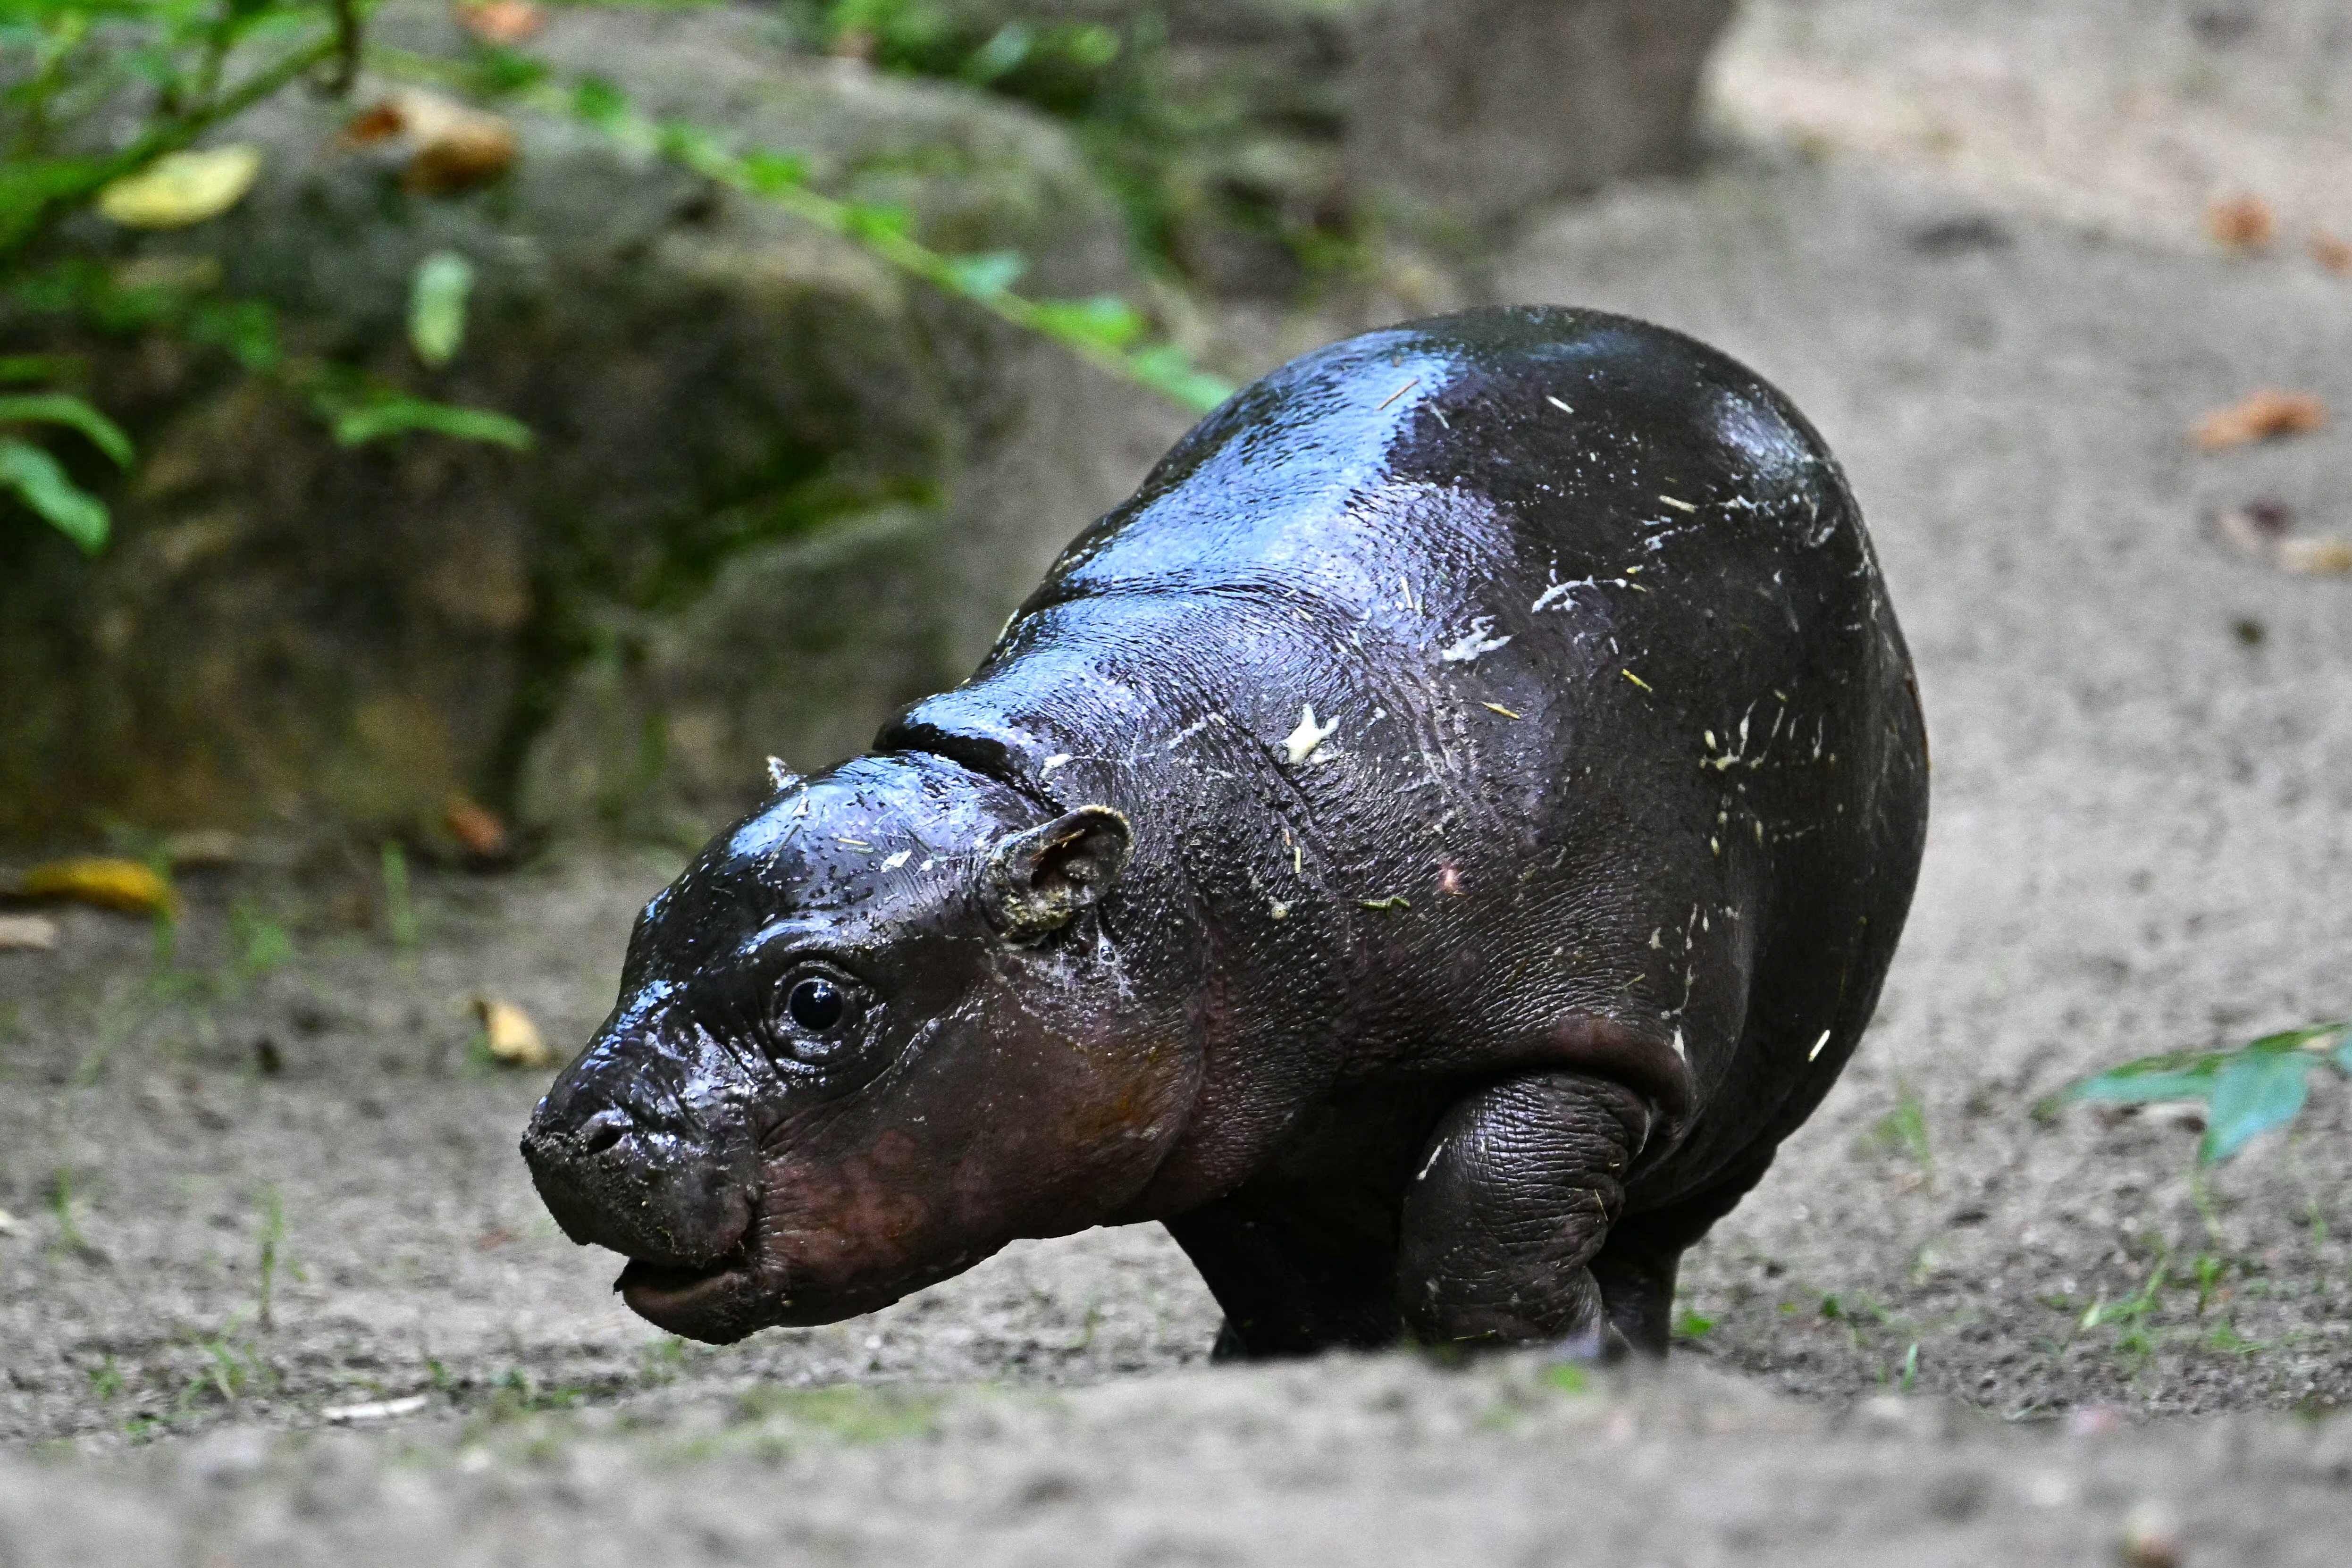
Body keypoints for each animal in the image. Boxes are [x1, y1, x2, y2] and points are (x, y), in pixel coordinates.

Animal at [521, 305, 1929, 1358]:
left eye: (817, 1000)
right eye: (645, 923)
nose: (558, 1137)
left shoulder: (1593, 1026)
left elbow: (1486, 1204)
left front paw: (1559, 1358)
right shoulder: (1228, 1117)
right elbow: (1274, 1268)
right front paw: (1301, 1365)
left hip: (1768, 1078)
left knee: (1649, 1231)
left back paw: (1631, 1350)